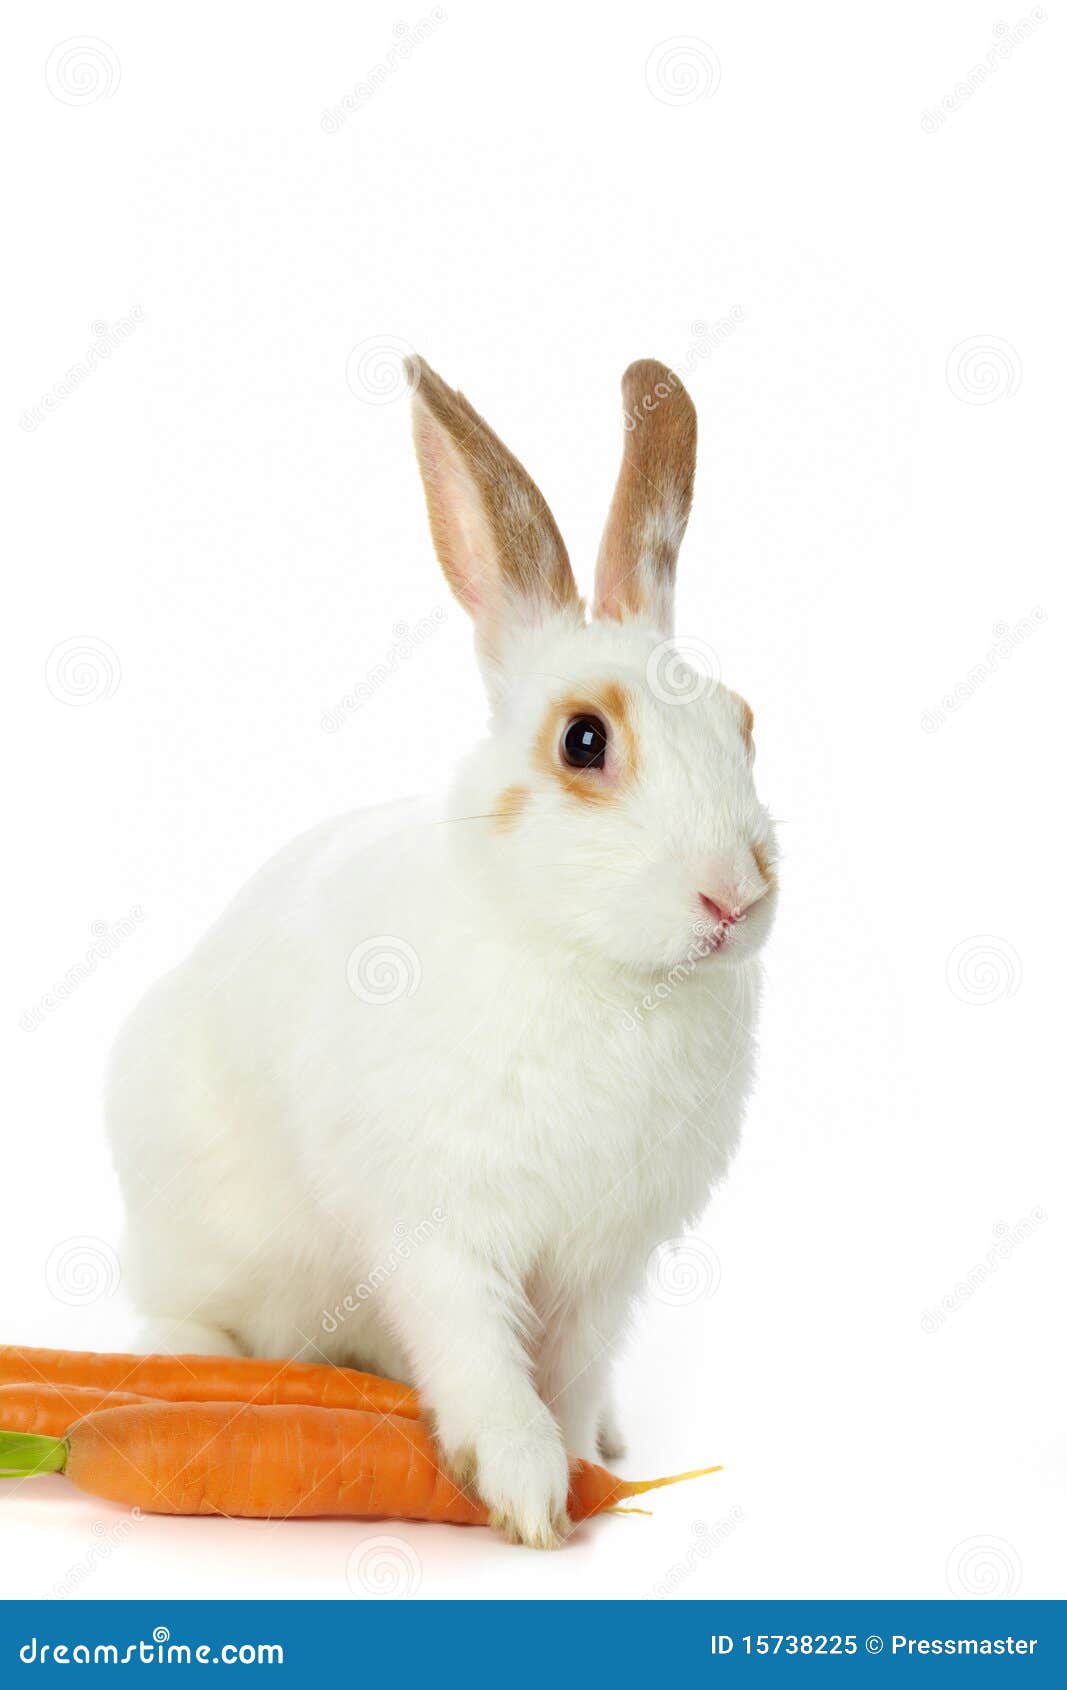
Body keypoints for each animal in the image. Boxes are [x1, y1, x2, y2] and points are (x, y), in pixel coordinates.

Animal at [106, 355, 778, 1548]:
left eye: (744, 725)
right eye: (584, 741)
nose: (735, 895)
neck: (597, 967)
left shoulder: (599, 1271)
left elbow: (568, 1373)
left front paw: (579, 1466)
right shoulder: (440, 1236)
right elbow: (482, 1363)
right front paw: (526, 1492)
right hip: (192, 1232)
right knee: (183, 1309)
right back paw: (186, 1365)